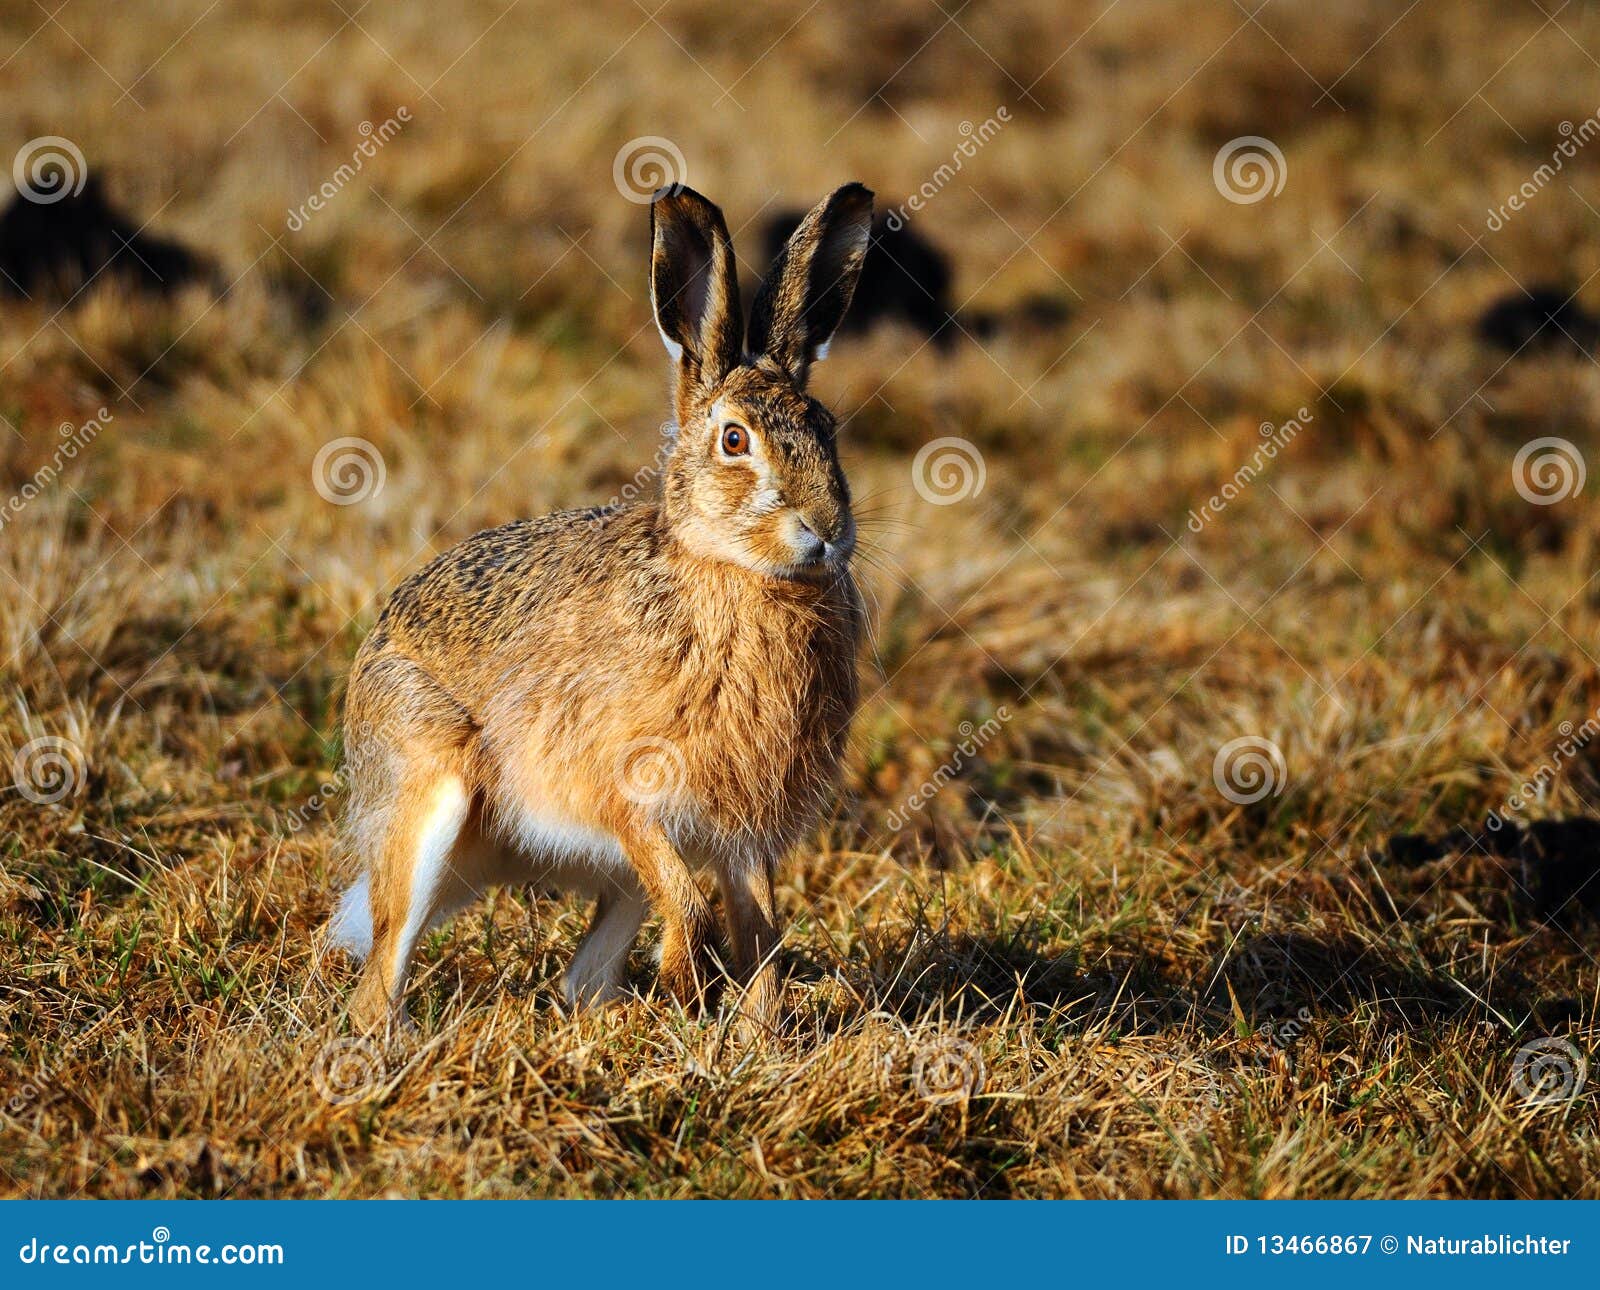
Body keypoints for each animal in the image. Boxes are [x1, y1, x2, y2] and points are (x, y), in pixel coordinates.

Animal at [327, 182, 875, 1036]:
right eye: (734, 441)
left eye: (829, 431)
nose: (825, 529)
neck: (735, 574)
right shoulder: (627, 791)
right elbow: (692, 899)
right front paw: (690, 983)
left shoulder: (743, 827)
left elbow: (760, 929)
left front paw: (757, 1034)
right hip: (429, 791)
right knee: (380, 973)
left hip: (607, 881)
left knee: (581, 981)